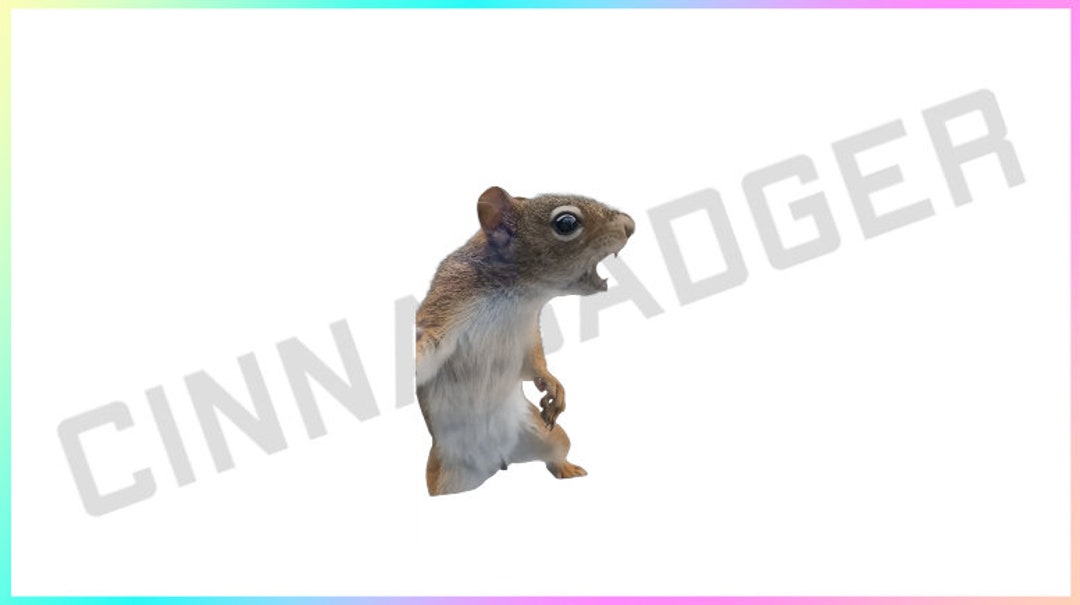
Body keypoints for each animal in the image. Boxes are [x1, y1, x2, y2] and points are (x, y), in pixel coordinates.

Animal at [415, 186, 636, 496]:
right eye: (566, 223)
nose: (630, 225)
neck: (519, 295)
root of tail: (498, 460)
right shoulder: (445, 303)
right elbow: (428, 346)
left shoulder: (528, 333)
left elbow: (534, 362)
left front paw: (553, 385)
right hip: (446, 474)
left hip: (548, 435)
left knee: (555, 453)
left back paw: (567, 468)